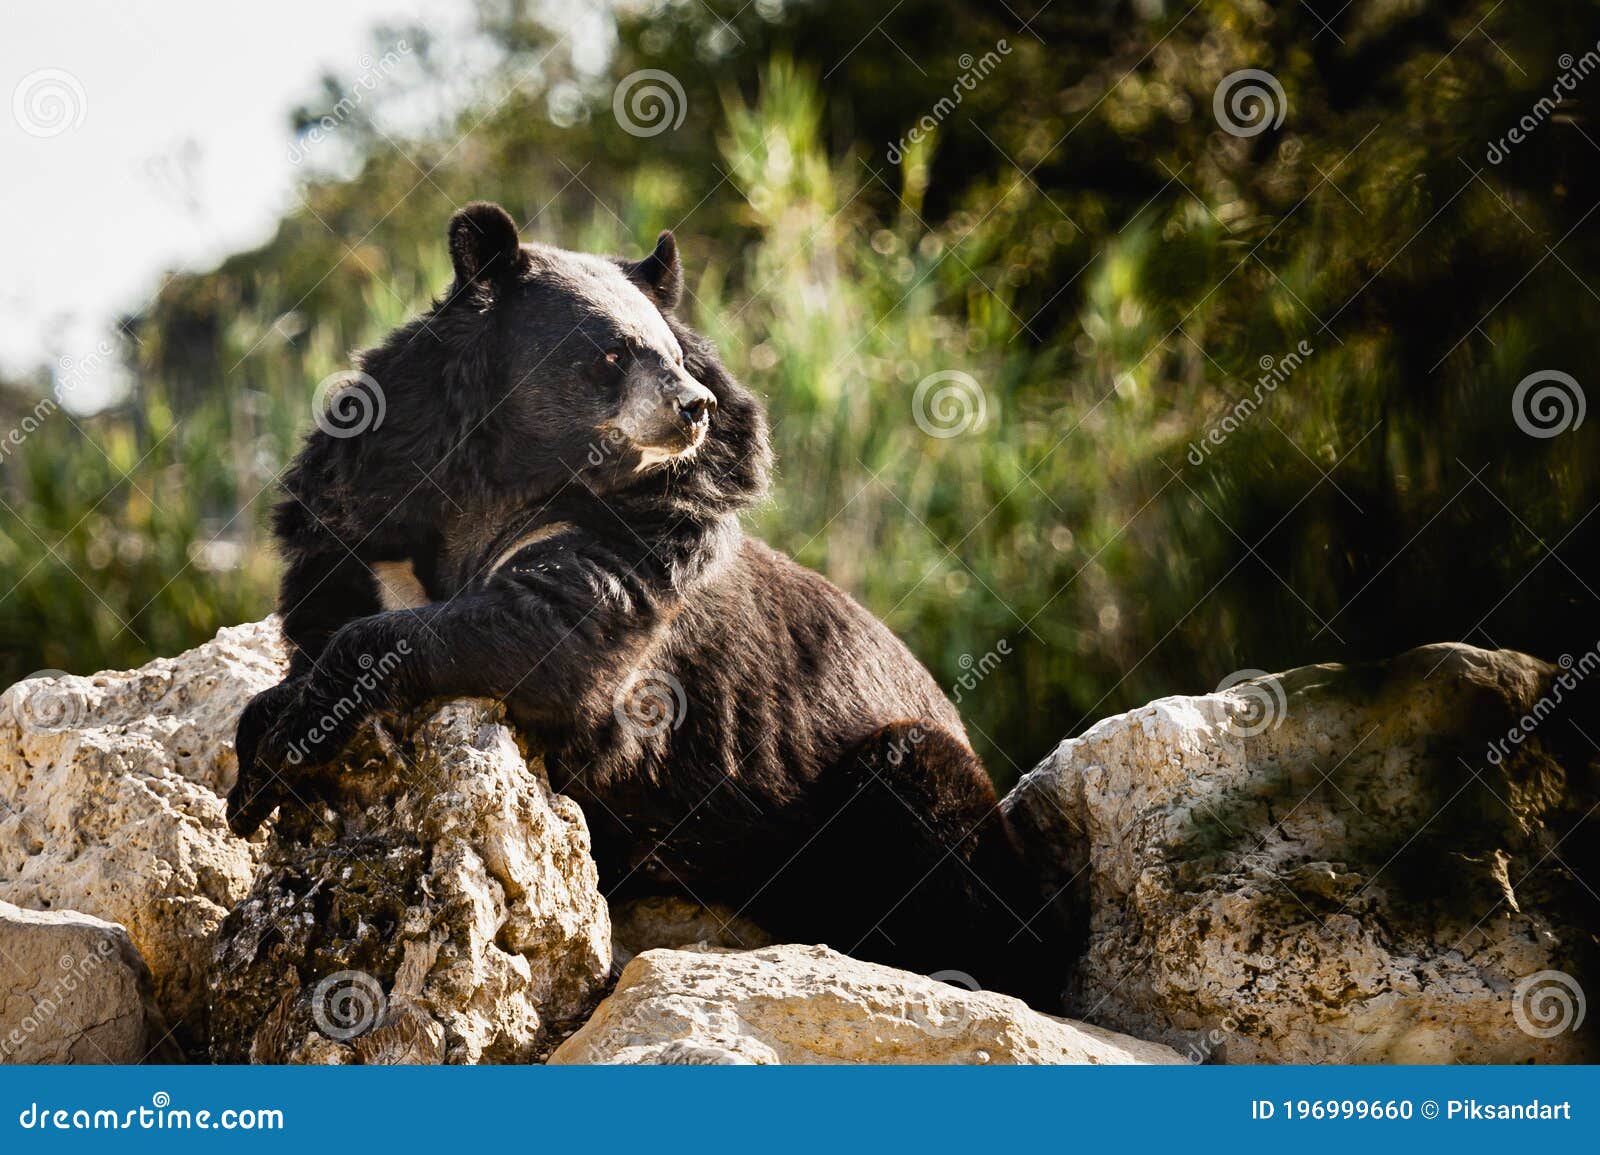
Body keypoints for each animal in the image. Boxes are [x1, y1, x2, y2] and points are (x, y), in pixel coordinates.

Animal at [227, 202, 1059, 1006]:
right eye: (611, 353)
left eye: (680, 359)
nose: (694, 407)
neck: (505, 480)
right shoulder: (361, 525)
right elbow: (325, 621)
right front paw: (253, 773)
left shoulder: (651, 541)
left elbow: (552, 638)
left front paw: (285, 741)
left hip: (903, 776)